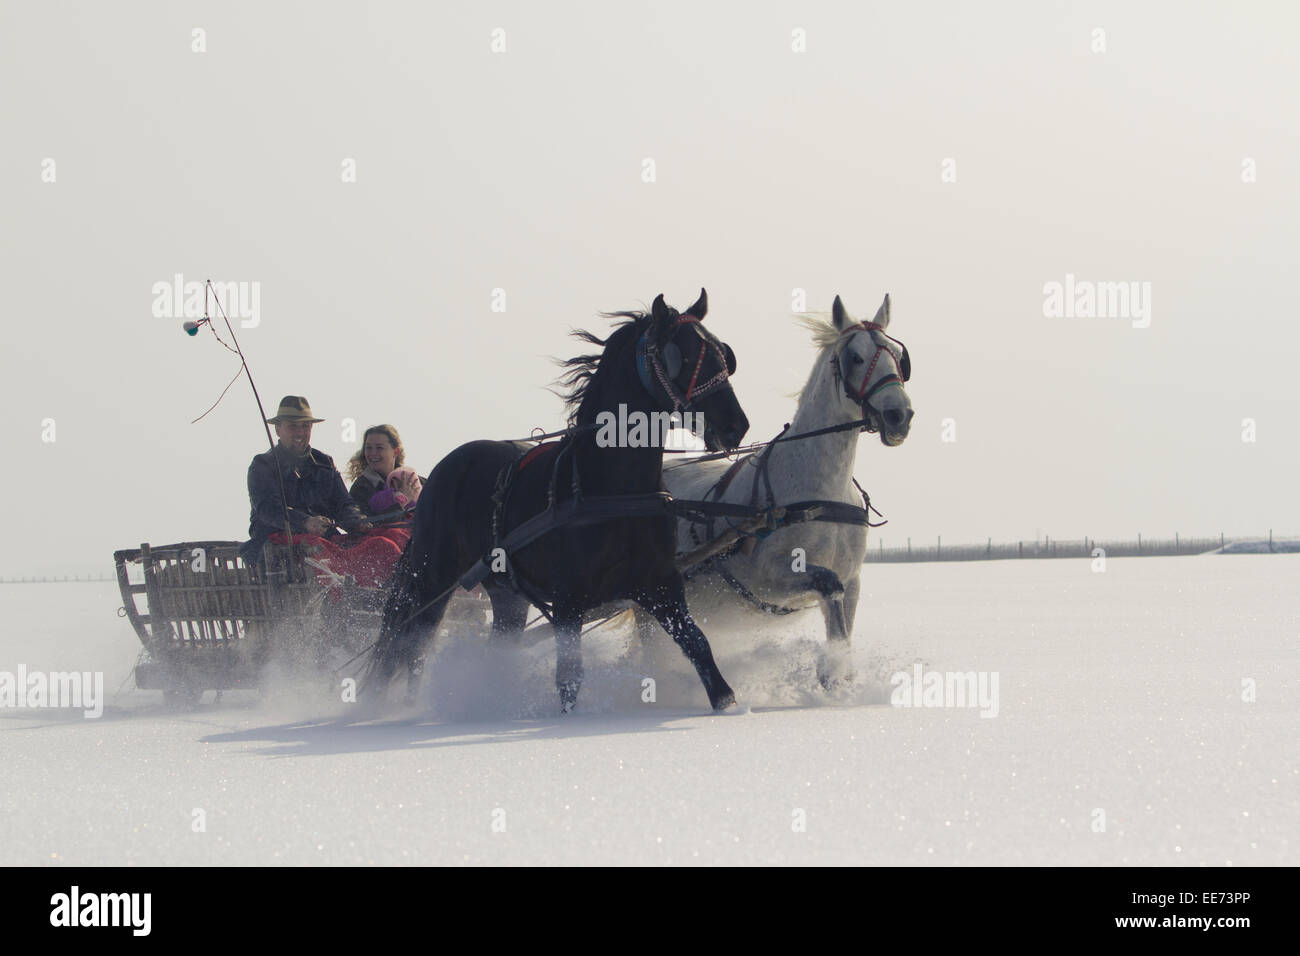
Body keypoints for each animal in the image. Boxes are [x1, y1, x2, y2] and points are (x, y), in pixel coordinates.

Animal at [366, 289, 750, 713]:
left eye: (722, 353)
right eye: (682, 353)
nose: (736, 425)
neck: (611, 489)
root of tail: (434, 476)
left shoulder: (660, 585)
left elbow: (698, 647)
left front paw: (727, 702)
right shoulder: (569, 600)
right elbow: (569, 677)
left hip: (506, 593)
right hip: (434, 576)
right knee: (411, 639)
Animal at [658, 293, 913, 689]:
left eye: (899, 356)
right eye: (856, 357)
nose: (899, 415)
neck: (824, 492)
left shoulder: (853, 579)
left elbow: (841, 617)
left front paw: (838, 677)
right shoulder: (769, 578)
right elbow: (829, 589)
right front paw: (831, 672)